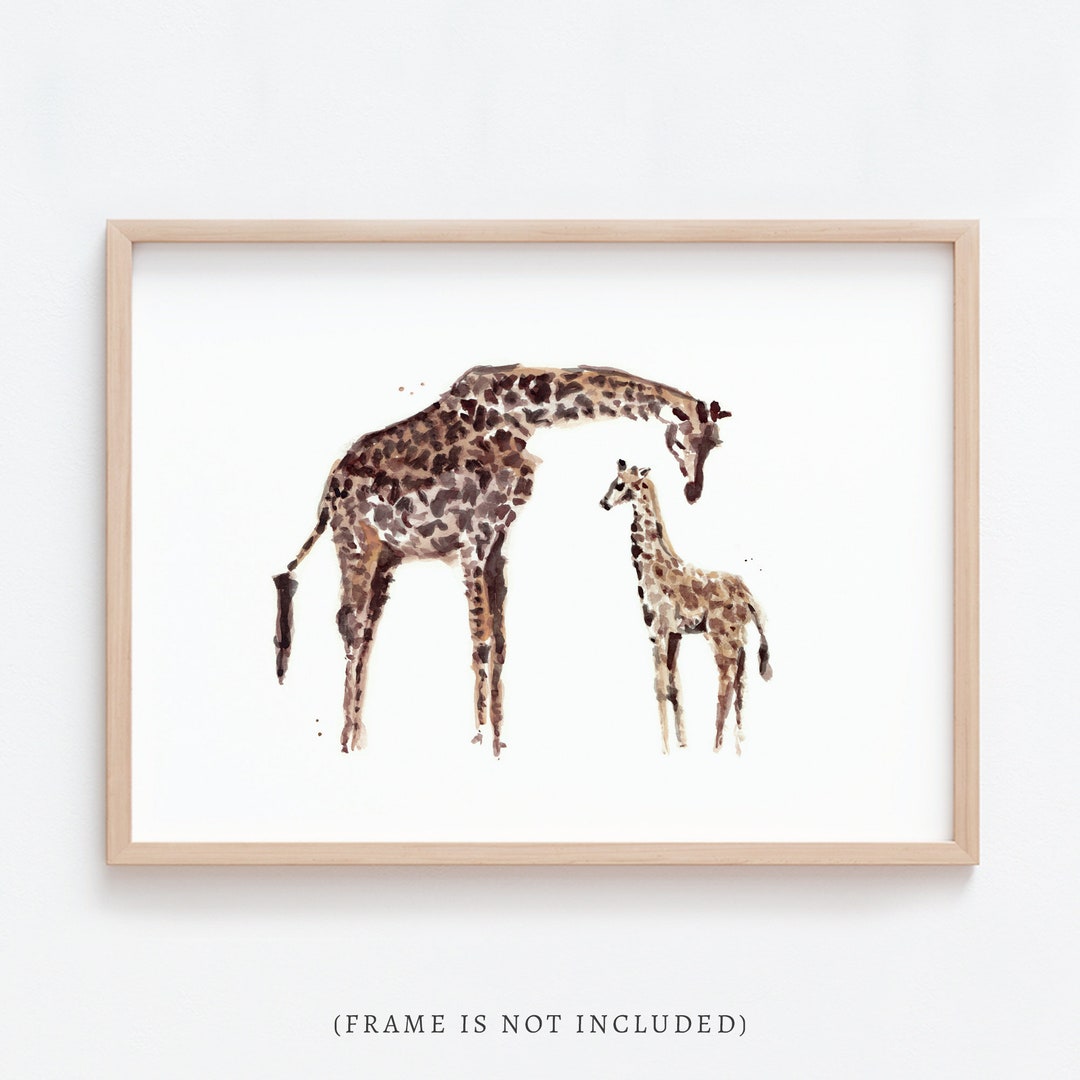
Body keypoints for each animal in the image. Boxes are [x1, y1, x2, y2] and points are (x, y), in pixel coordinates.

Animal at [274, 364, 729, 758]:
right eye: (688, 437)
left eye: (715, 444)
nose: (693, 492)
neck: (524, 413)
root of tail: (329, 494)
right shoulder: (473, 540)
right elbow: (482, 639)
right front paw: (478, 738)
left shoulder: (497, 542)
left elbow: (501, 642)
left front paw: (498, 742)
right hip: (356, 545)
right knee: (350, 625)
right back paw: (346, 740)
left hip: (387, 558)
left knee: (366, 630)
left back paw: (355, 736)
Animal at [600, 461, 772, 754]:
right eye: (612, 482)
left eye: (620, 484)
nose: (603, 503)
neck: (653, 567)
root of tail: (749, 598)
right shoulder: (675, 634)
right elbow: (674, 690)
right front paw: (681, 745)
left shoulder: (657, 631)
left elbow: (659, 688)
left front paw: (666, 748)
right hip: (740, 641)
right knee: (740, 687)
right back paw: (736, 747)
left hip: (720, 637)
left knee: (725, 688)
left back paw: (717, 748)